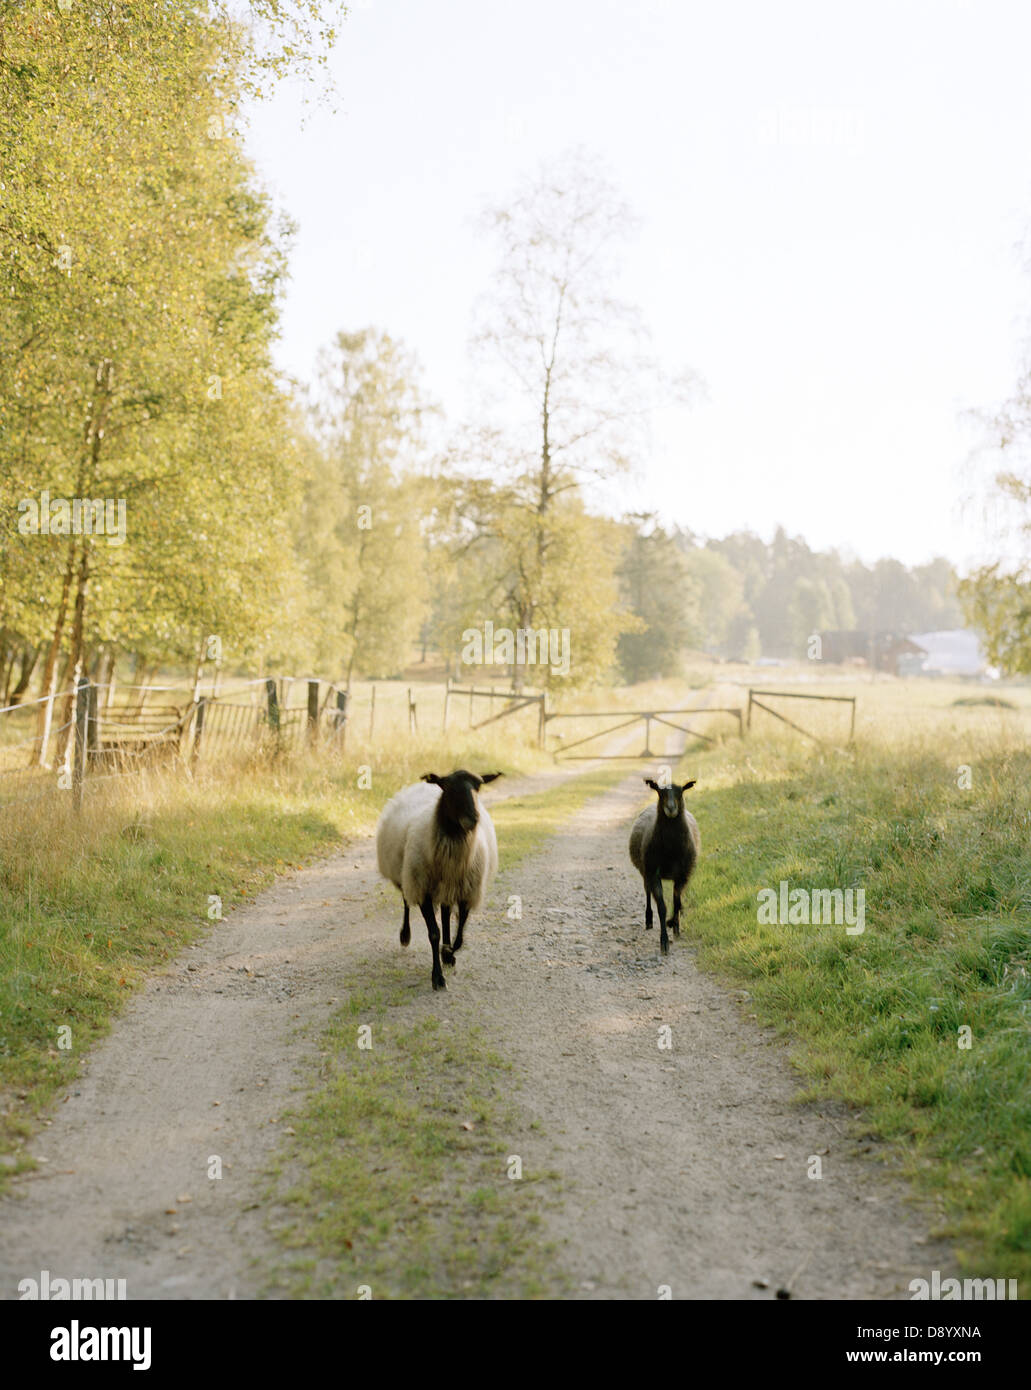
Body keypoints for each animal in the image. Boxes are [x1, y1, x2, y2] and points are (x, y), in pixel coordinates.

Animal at [376, 769, 502, 990]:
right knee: (406, 902)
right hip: (406, 875)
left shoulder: (466, 891)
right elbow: (433, 934)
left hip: (444, 887)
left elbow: (460, 935)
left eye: (478, 786)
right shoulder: (423, 889)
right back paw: (405, 935)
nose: (473, 818)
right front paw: (437, 977)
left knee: (444, 913)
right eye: (448, 786)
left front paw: (448, 953)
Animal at [628, 777, 700, 956]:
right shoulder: (653, 873)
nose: (671, 808)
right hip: (645, 871)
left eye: (681, 792)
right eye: (660, 792)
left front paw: (675, 926)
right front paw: (664, 942)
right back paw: (648, 919)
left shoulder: (682, 875)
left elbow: (676, 902)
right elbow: (662, 907)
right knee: (647, 892)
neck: (671, 850)